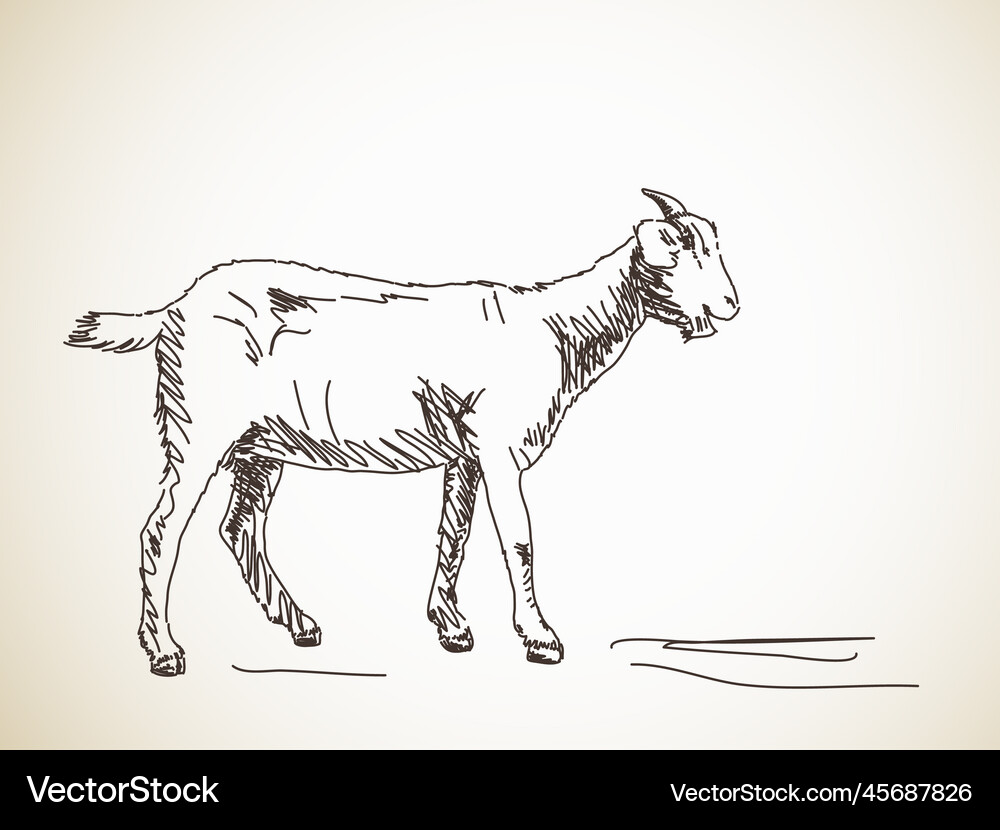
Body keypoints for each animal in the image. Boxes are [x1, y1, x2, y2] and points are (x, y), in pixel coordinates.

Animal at [65, 189, 739, 676]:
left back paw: (301, 624)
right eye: (682, 252)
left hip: (261, 445)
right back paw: (164, 652)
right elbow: (517, 540)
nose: (731, 304)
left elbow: (454, 532)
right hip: (198, 431)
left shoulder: (465, 453)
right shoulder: (500, 450)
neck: (554, 325)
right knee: (161, 531)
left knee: (239, 528)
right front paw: (540, 638)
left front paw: (451, 626)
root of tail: (173, 306)